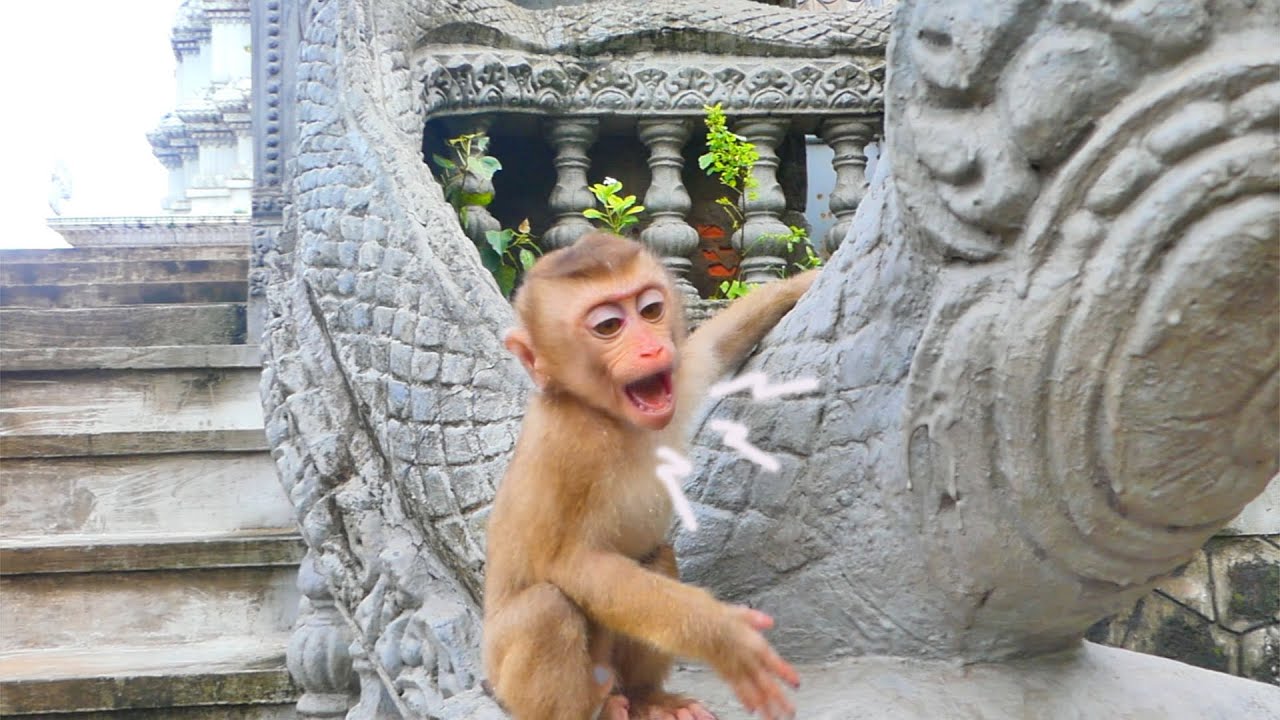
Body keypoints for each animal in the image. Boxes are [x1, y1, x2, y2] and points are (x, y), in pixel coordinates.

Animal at [483, 231, 816, 720]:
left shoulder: (684, 371)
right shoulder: (569, 446)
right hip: (508, 680)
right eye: (608, 326)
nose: (652, 348)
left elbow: (712, 346)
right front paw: (722, 636)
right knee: (546, 610)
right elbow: (574, 564)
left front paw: (802, 282)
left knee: (656, 555)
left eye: (651, 310)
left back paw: (645, 699)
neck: (612, 418)